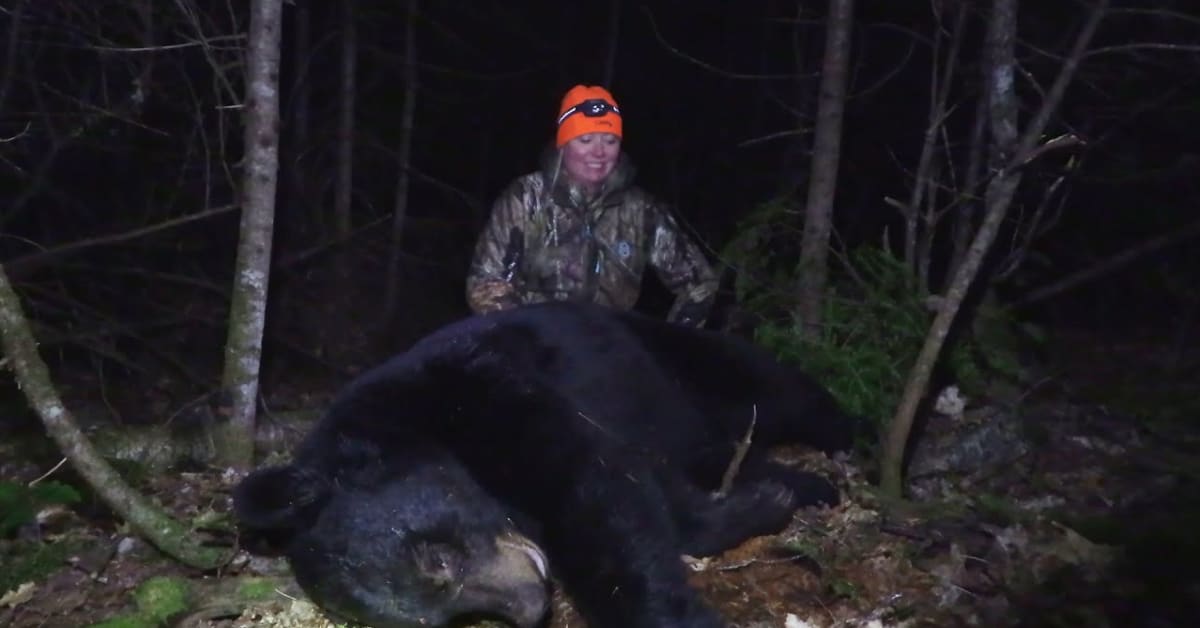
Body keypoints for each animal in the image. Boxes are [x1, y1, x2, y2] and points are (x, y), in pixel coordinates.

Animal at [232, 301, 862, 628]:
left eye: (438, 557)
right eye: (449, 620)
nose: (532, 605)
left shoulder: (487, 392)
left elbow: (598, 500)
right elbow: (644, 485)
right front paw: (771, 497)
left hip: (683, 355)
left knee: (776, 389)